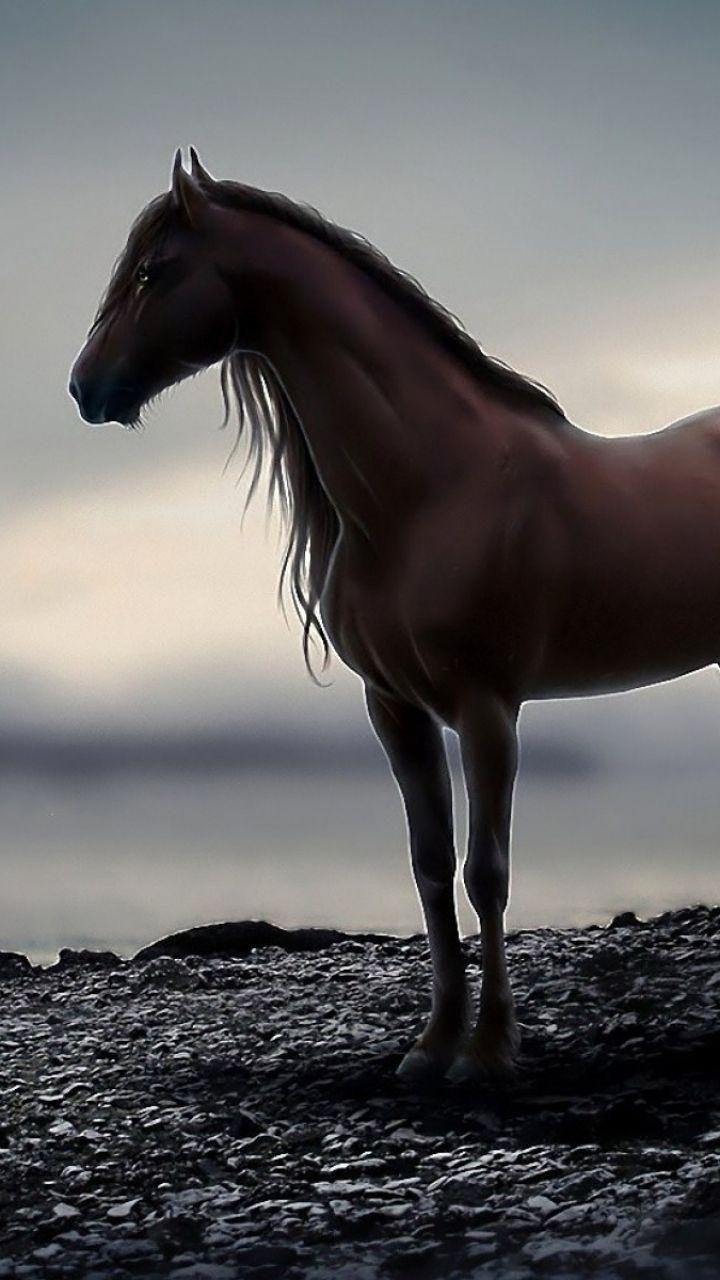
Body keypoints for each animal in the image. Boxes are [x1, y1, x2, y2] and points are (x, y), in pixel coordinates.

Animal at [70, 149, 720, 1085]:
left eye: (154, 271)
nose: (84, 386)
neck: (433, 486)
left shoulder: (488, 709)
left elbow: (487, 873)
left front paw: (487, 1050)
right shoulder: (396, 709)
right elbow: (429, 868)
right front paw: (433, 1043)